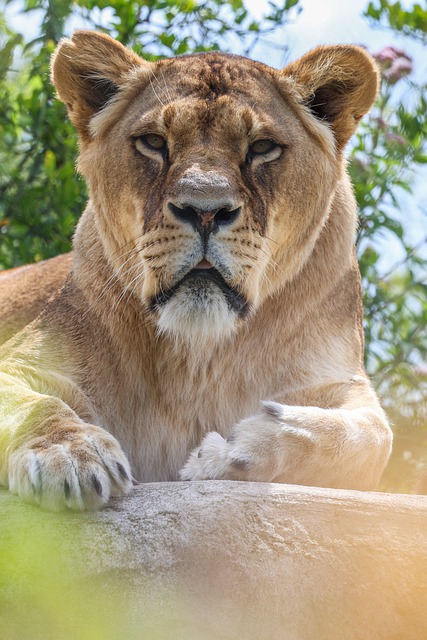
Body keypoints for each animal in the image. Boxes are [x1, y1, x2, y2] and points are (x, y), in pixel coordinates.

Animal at [0, 31, 392, 511]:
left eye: (262, 148)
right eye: (154, 142)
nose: (205, 211)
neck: (197, 357)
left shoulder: (344, 384)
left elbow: (366, 437)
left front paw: (230, 452)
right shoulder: (22, 360)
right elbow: (32, 404)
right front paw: (69, 452)